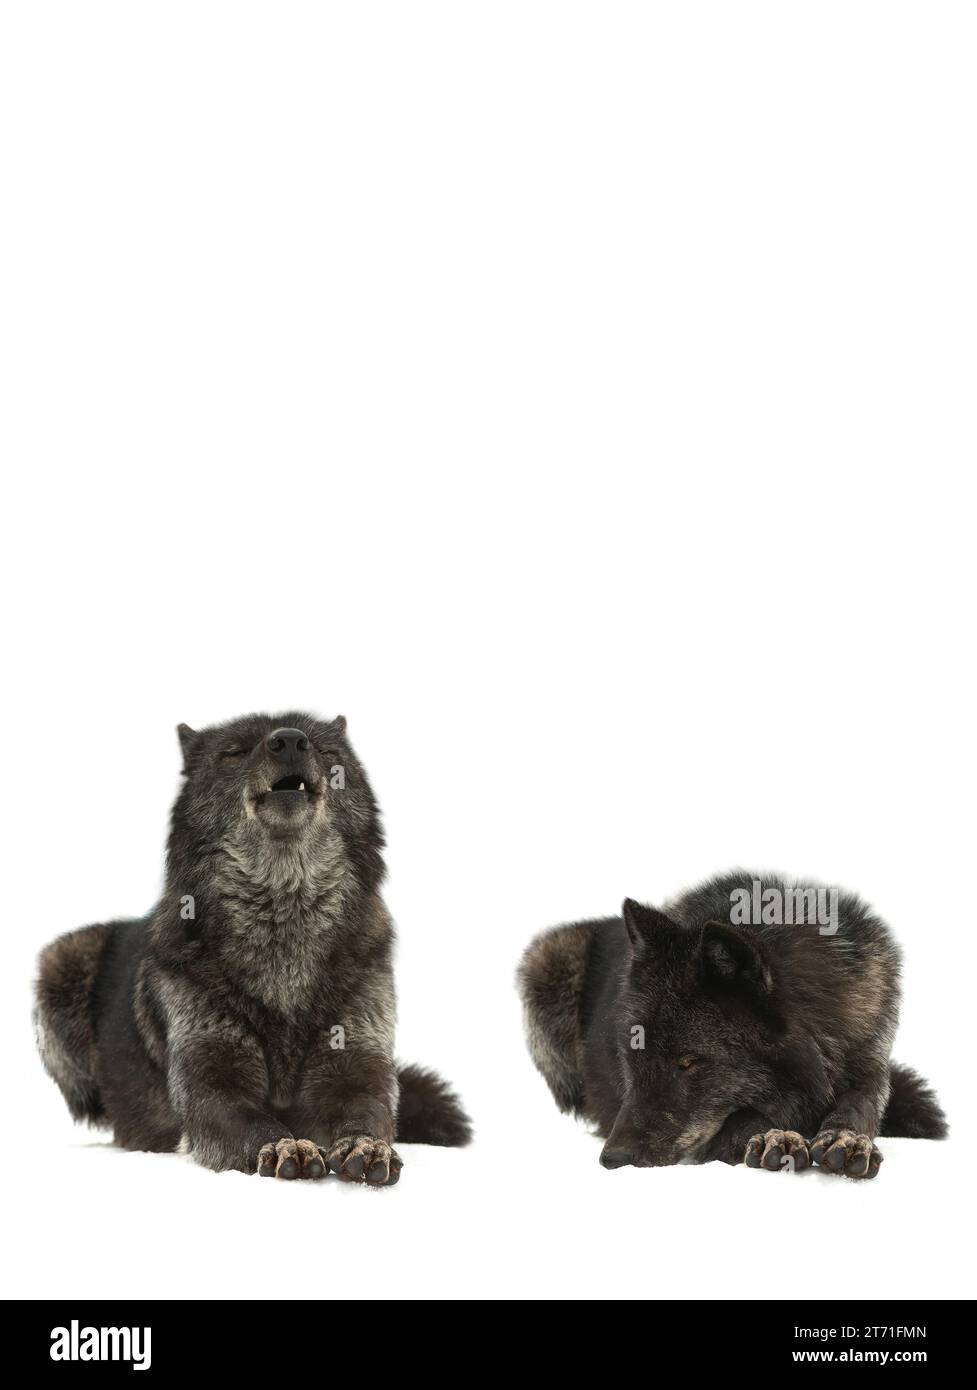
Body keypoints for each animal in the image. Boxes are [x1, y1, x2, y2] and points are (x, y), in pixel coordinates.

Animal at [35, 713, 471, 1183]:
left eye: (325, 750)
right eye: (236, 752)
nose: (291, 741)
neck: (284, 920)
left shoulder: (357, 1069)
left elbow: (367, 1113)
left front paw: (367, 1146)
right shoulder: (212, 1083)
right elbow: (254, 1122)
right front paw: (286, 1145)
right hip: (61, 961)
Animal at [518, 872, 946, 1177]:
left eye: (688, 1062)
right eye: (631, 1060)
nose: (612, 1158)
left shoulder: (870, 1060)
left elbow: (859, 1108)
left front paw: (848, 1138)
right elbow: (740, 1118)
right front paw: (773, 1135)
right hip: (547, 959)